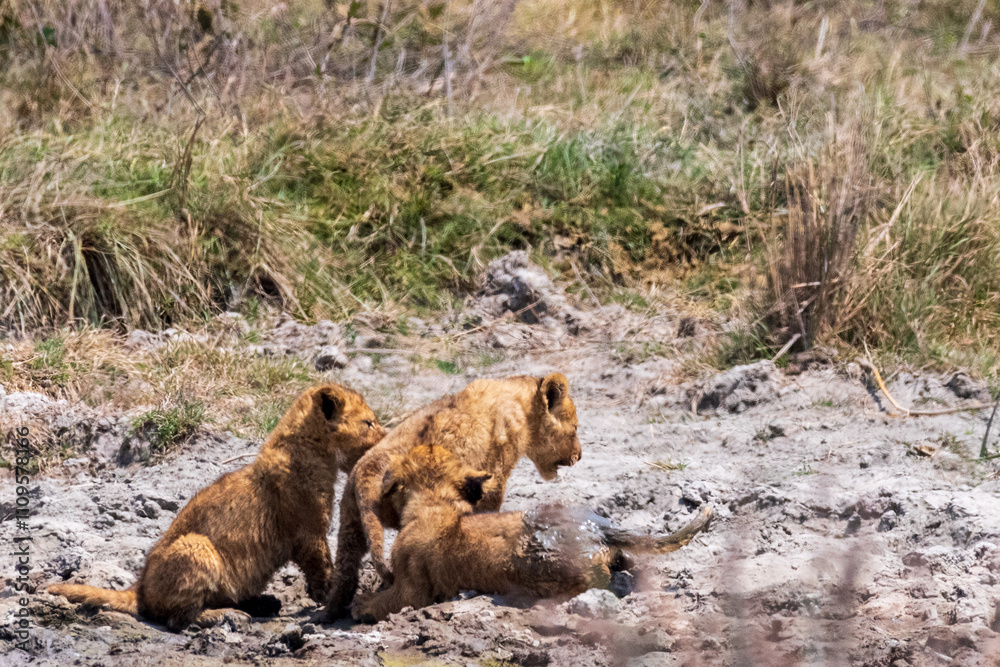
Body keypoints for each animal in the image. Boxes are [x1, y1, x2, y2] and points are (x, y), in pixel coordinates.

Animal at [48, 383, 386, 632]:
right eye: (368, 422)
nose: (385, 438)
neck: (313, 451)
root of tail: (140, 586)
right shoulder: (307, 529)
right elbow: (321, 566)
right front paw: (330, 597)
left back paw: (263, 603)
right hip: (197, 545)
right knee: (176, 619)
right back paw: (226, 615)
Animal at [324, 373, 581, 620]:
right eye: (576, 427)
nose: (579, 455)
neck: (522, 402)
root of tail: (367, 470)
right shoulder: (496, 475)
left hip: (350, 522)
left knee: (345, 570)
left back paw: (330, 612)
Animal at [351, 444, 713, 622]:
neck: (434, 500)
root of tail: (601, 528)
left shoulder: (412, 588)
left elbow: (390, 599)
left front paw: (361, 606)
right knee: (629, 565)